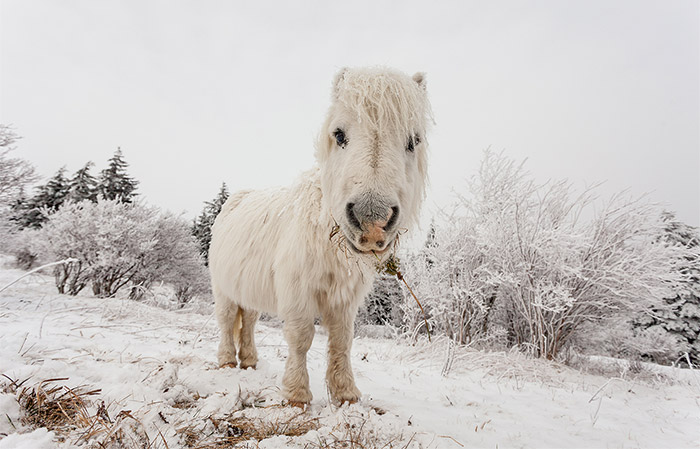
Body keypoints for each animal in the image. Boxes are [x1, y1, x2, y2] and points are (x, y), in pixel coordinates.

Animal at [209, 67, 431, 406]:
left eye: (413, 140)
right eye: (339, 135)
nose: (371, 219)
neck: (328, 241)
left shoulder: (345, 299)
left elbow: (342, 341)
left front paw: (346, 394)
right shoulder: (297, 292)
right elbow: (301, 338)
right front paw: (297, 395)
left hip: (249, 292)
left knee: (248, 323)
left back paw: (248, 361)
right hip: (223, 290)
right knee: (225, 321)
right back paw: (226, 362)